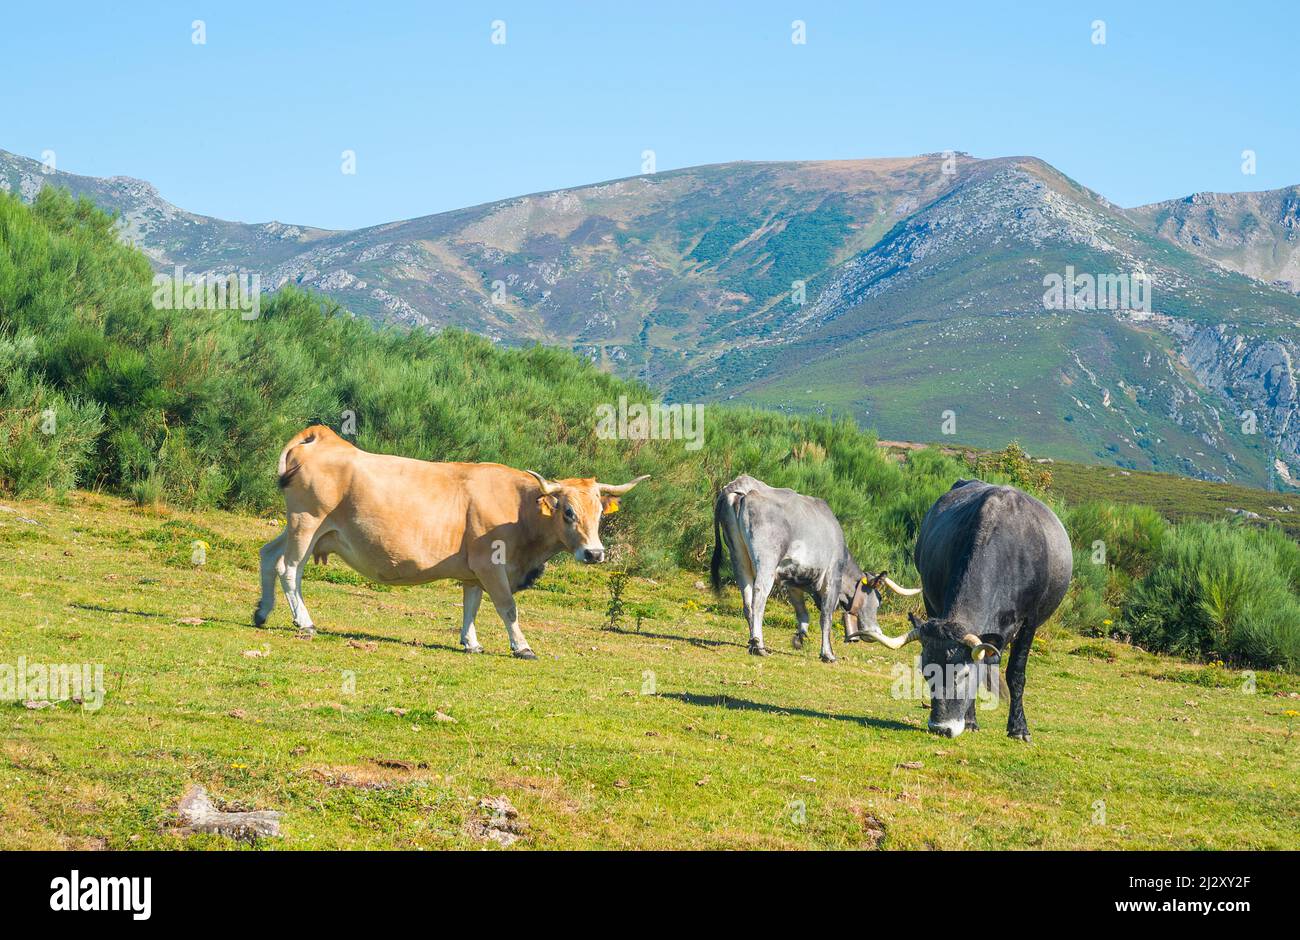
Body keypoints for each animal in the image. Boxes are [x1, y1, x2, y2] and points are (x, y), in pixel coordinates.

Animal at [254, 426, 649, 659]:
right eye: (568, 511)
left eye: (599, 513)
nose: (594, 553)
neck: (520, 508)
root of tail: (322, 436)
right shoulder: (492, 565)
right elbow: (507, 607)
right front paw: (522, 646)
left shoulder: (475, 571)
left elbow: (471, 604)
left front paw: (471, 642)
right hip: (307, 523)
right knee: (289, 568)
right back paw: (304, 621)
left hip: (303, 528)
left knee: (267, 554)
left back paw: (262, 612)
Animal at [709, 475, 920, 662]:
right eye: (878, 601)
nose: (877, 631)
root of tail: (742, 486)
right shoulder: (832, 577)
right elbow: (826, 616)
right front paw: (828, 654)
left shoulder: (791, 579)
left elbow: (802, 611)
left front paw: (800, 637)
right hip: (766, 561)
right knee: (758, 598)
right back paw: (758, 645)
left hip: (739, 558)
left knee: (747, 601)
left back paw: (752, 642)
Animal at [860, 479, 1072, 741]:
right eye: (926, 672)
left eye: (964, 674)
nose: (941, 728)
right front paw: (970, 721)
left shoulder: (1029, 622)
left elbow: (1016, 674)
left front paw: (1019, 728)